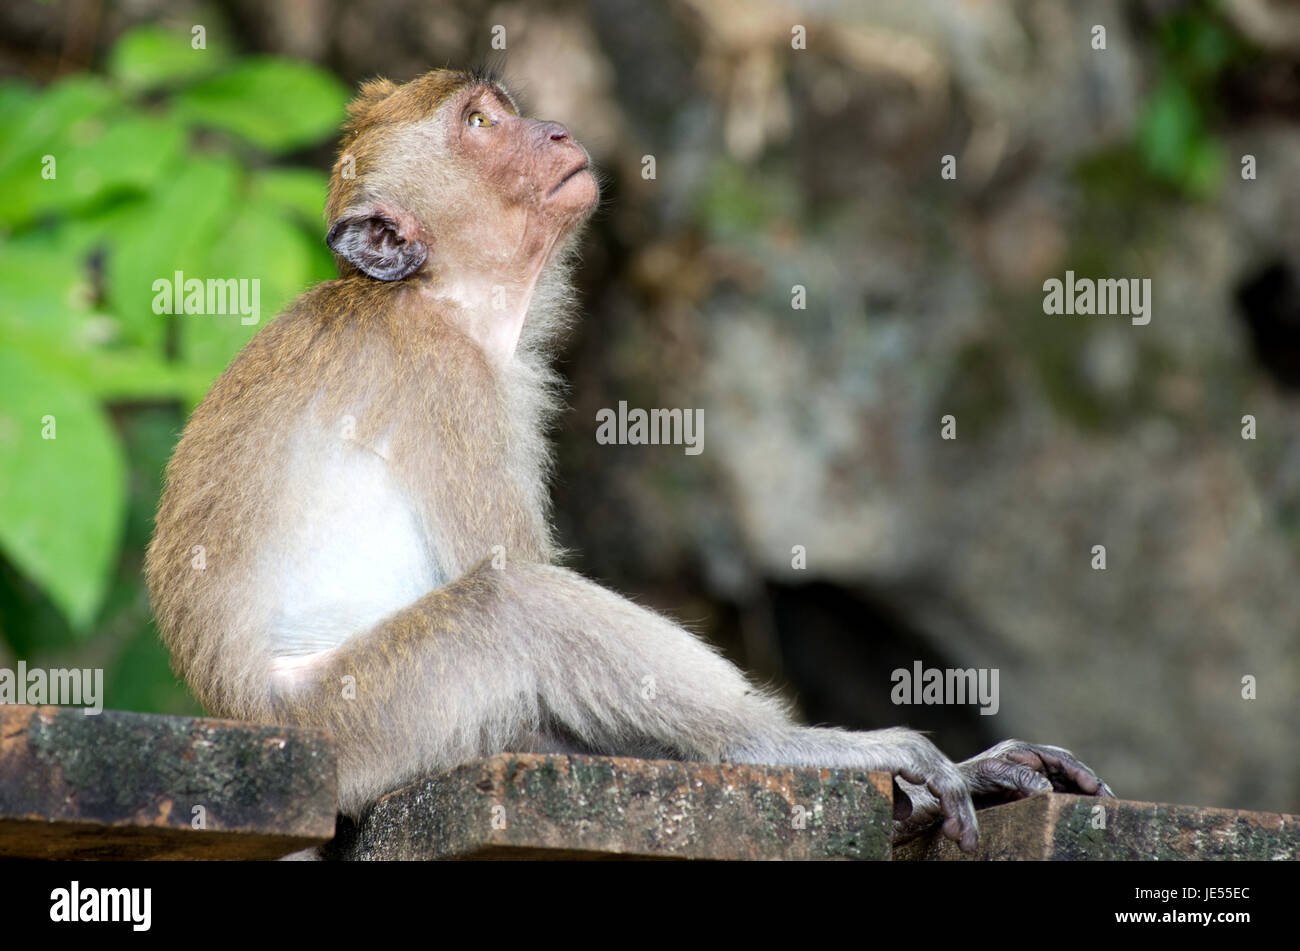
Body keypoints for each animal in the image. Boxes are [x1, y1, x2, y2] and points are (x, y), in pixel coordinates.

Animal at [145, 67, 1112, 852]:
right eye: (480, 125)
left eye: (503, 111)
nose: (555, 131)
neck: (438, 295)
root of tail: (243, 711)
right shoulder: (444, 378)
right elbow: (513, 571)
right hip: (364, 717)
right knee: (516, 602)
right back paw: (771, 746)